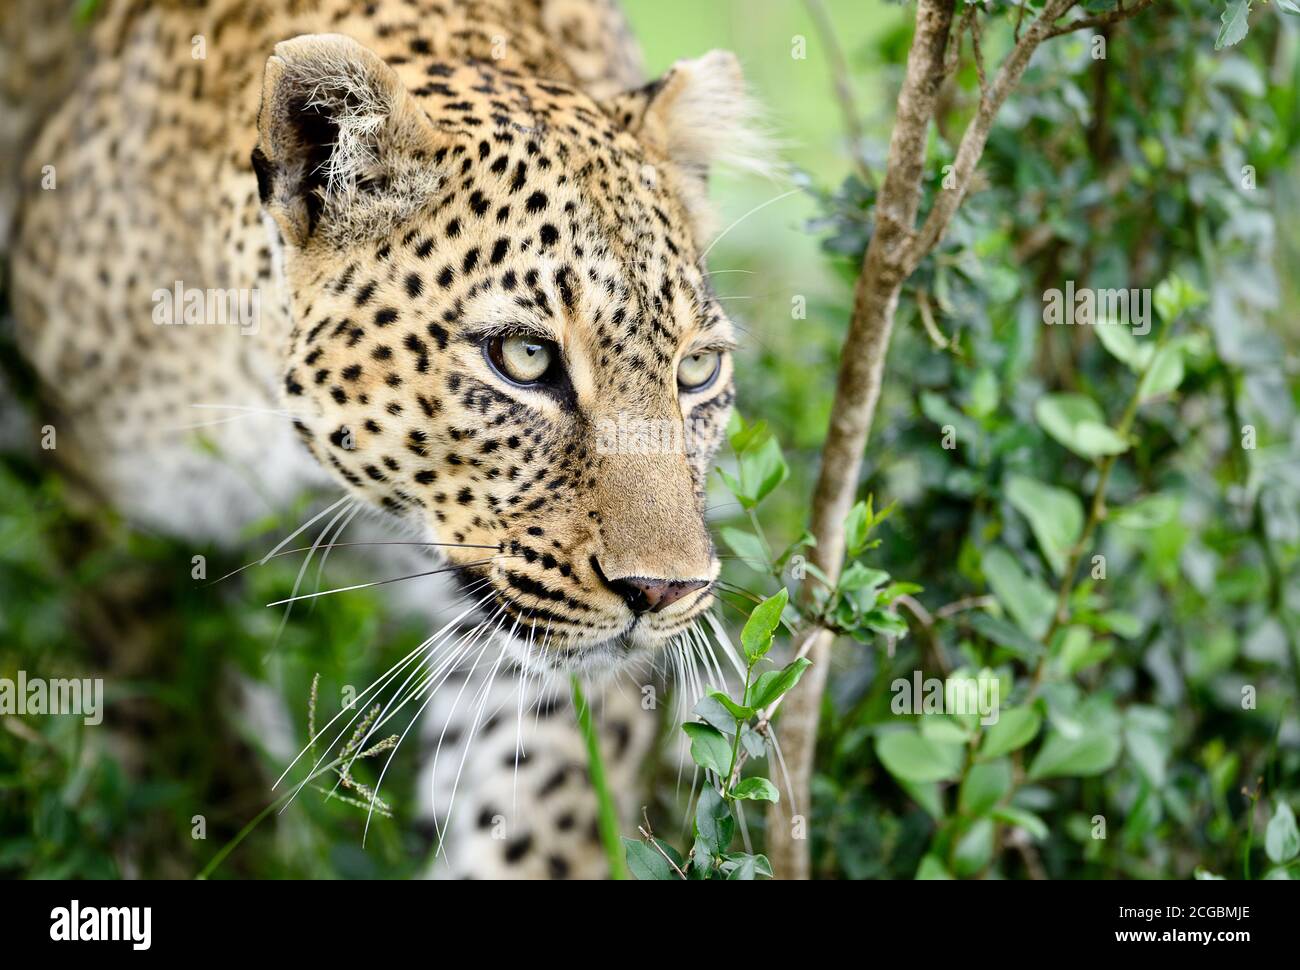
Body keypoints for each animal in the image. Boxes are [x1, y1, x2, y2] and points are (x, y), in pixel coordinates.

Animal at [6, 0, 770, 879]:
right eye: (525, 356)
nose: (664, 592)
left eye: (697, 370)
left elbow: (534, 805)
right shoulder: (118, 517)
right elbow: (194, 751)